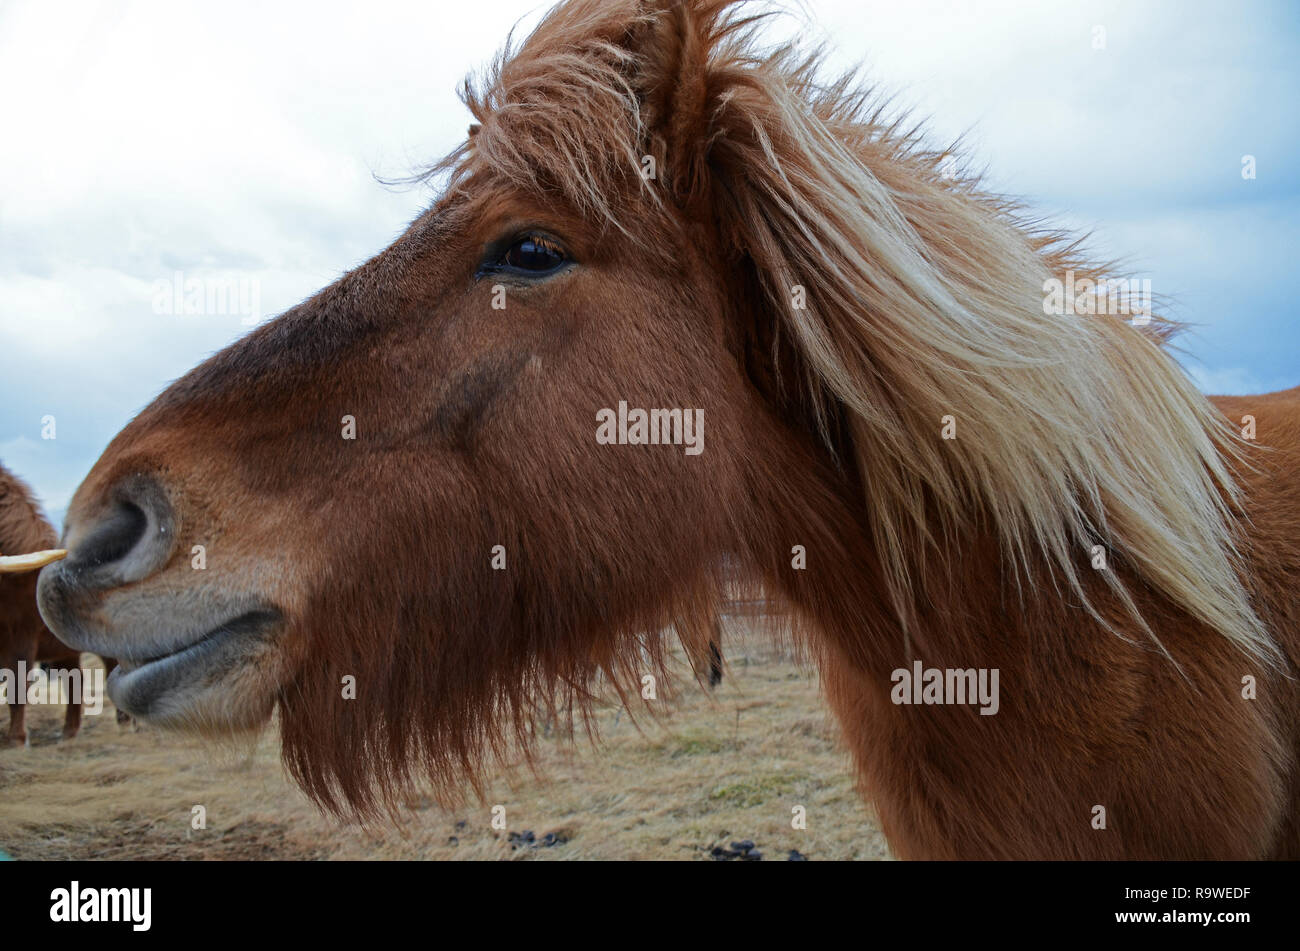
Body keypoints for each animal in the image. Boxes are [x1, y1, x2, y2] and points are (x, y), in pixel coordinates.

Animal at [1, 462, 124, 745]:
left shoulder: (21, 639)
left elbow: (17, 687)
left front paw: (16, 739)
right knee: (75, 682)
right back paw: (69, 732)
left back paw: (127, 722)